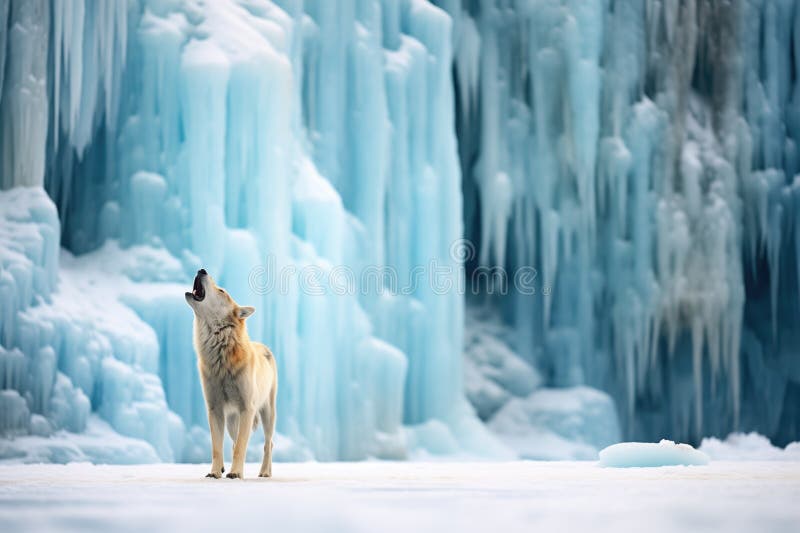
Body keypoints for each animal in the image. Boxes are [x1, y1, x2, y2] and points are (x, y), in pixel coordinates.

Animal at [185, 269, 277, 479]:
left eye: (222, 291)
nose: (202, 269)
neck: (220, 356)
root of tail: (265, 348)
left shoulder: (247, 409)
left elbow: (241, 448)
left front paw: (235, 473)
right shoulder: (214, 409)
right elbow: (217, 448)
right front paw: (214, 472)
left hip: (267, 413)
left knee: (269, 443)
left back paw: (265, 473)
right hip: (232, 422)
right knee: (235, 443)